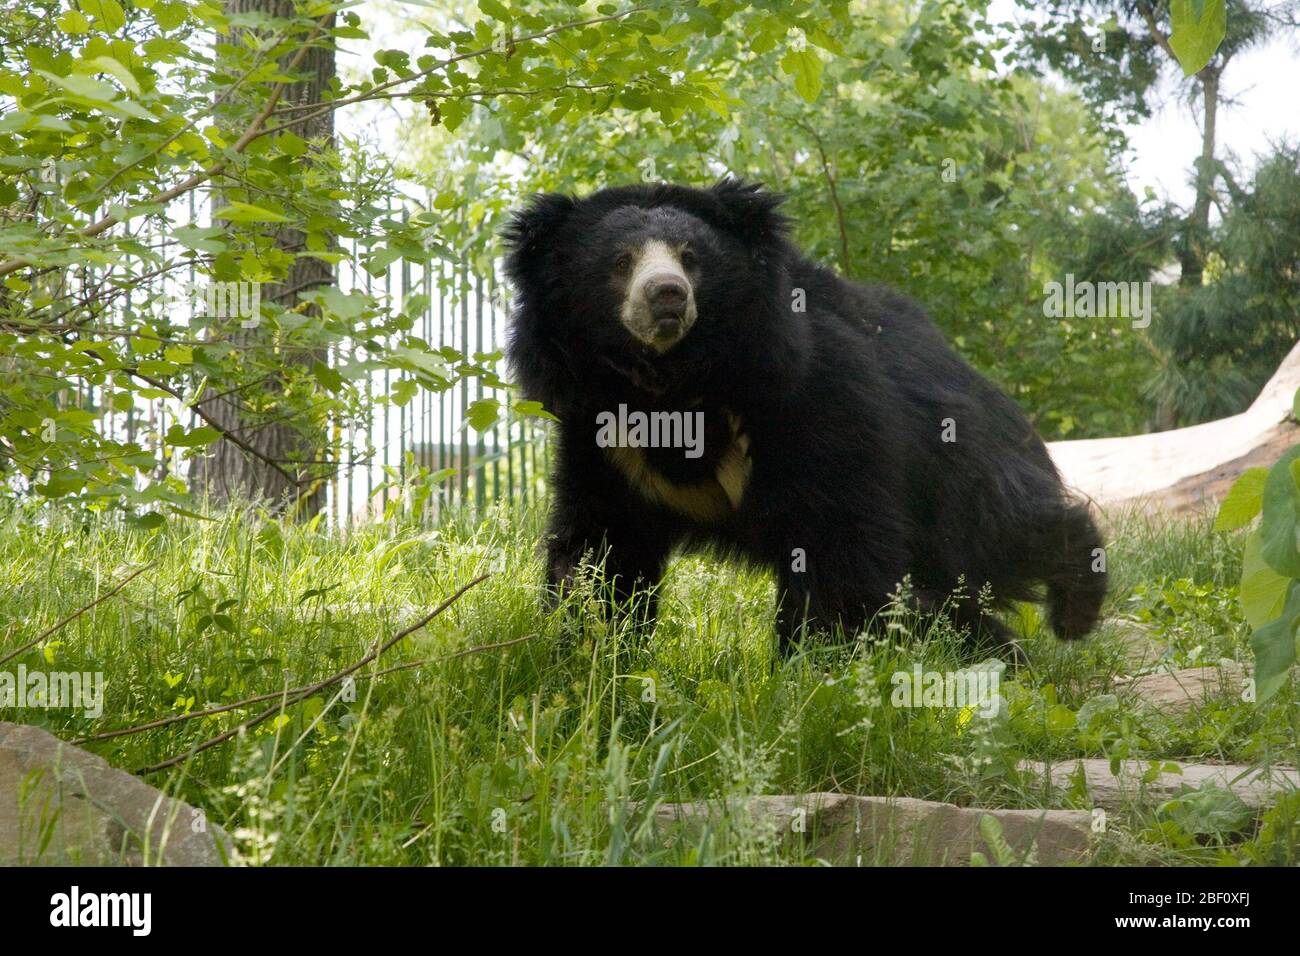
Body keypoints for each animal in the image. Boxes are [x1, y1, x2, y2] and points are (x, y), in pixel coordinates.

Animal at [502, 178, 1106, 659]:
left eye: (690, 256)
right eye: (620, 261)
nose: (667, 296)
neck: (672, 385)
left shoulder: (817, 396)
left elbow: (837, 538)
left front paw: (815, 666)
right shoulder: (603, 436)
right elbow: (603, 549)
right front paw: (591, 648)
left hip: (954, 463)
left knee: (996, 531)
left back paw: (1073, 606)